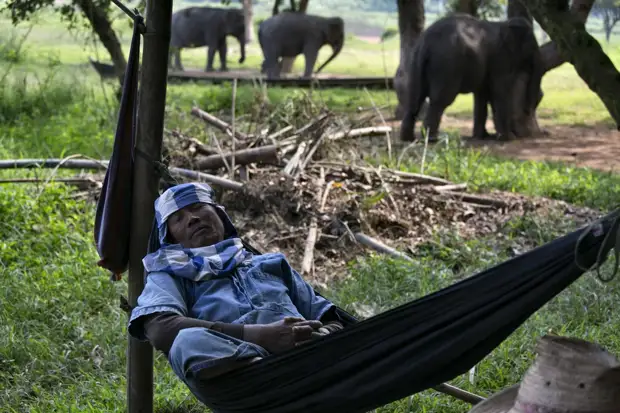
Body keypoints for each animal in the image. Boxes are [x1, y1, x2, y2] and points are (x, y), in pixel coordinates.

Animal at [402, 13, 544, 142]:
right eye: (531, 46)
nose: (527, 110)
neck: (503, 23)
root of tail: (426, 43)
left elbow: (482, 94)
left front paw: (483, 136)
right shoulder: (500, 57)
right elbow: (499, 91)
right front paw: (508, 138)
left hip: (415, 61)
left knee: (414, 99)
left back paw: (408, 138)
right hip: (446, 65)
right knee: (440, 101)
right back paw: (432, 139)